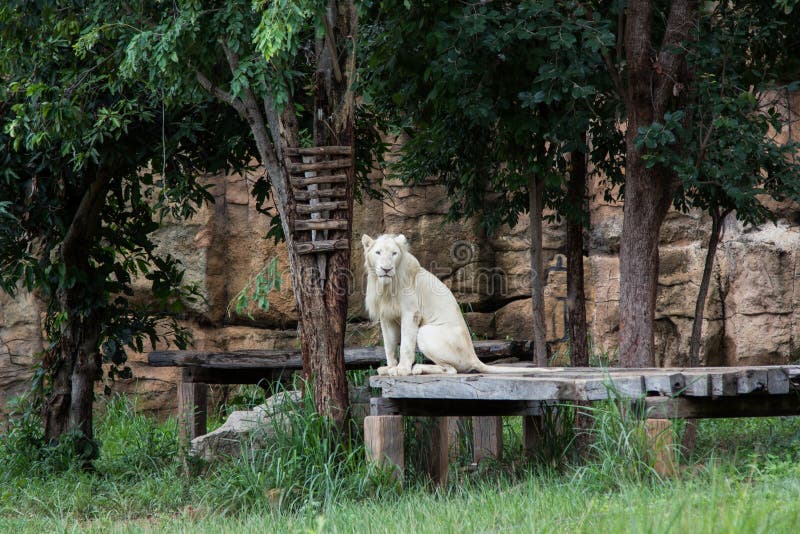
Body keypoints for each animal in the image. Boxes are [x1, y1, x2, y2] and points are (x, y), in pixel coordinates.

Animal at [362, 233, 556, 376]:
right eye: (378, 253)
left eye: (394, 253)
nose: (386, 269)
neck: (386, 286)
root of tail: (474, 356)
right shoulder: (386, 316)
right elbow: (389, 345)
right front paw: (389, 368)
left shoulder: (411, 313)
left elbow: (406, 345)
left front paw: (402, 370)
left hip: (426, 332)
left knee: (451, 370)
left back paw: (417, 368)